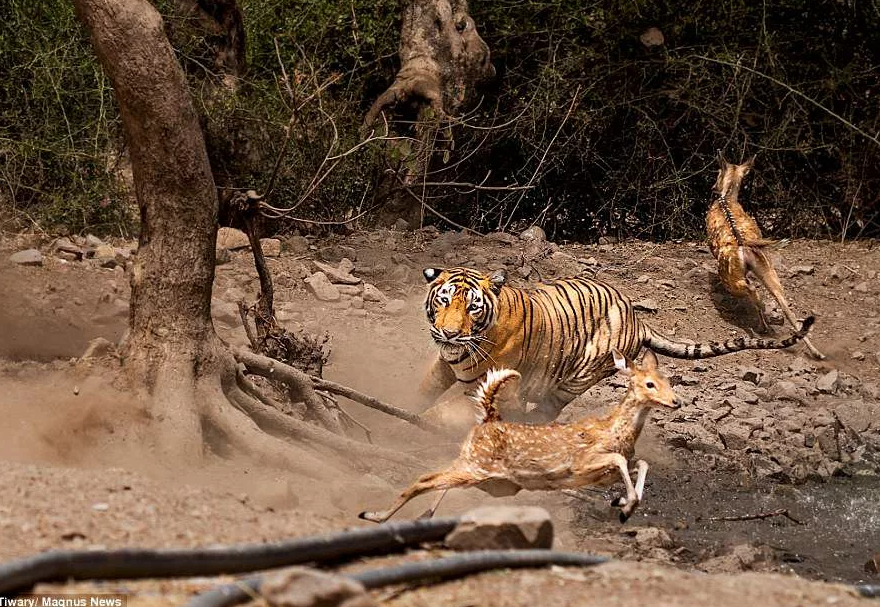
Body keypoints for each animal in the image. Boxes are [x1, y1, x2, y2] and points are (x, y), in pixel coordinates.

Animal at [358, 350, 680, 524]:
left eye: (668, 381)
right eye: (650, 384)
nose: (676, 402)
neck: (616, 431)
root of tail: (488, 418)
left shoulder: (606, 474)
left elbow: (641, 464)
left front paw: (625, 503)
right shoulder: (582, 464)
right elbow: (620, 460)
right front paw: (626, 504)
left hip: (488, 477)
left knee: (439, 477)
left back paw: (422, 515)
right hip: (477, 466)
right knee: (425, 478)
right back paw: (373, 516)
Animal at [416, 268, 816, 436]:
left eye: (473, 307)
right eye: (445, 300)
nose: (448, 333)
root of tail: (638, 320)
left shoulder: (500, 385)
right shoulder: (443, 366)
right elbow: (425, 392)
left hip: (576, 377)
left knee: (545, 410)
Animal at [708, 154, 824, 358]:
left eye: (718, 171)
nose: (713, 187)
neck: (726, 197)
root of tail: (745, 245)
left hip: (731, 276)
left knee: (750, 289)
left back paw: (764, 321)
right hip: (767, 269)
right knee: (786, 306)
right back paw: (816, 352)